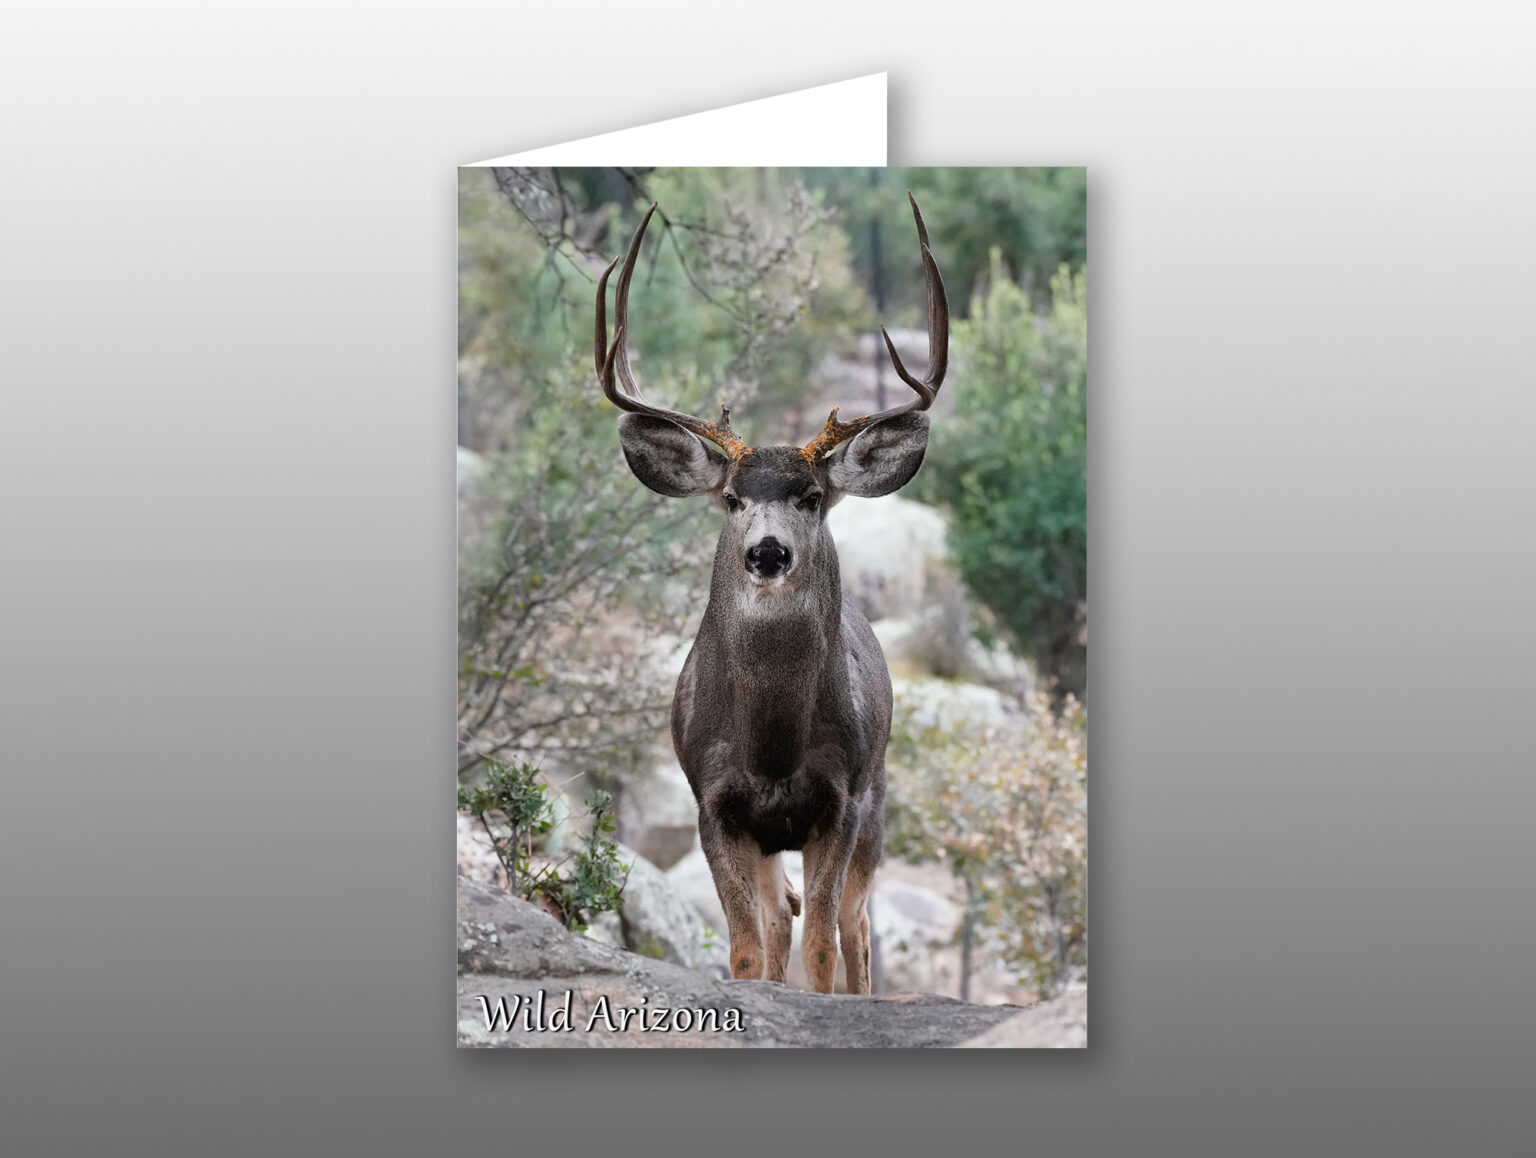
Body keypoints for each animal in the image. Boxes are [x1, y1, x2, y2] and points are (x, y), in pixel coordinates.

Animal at [593, 194, 948, 994]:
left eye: (811, 496)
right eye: (730, 498)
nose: (767, 551)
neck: (773, 745)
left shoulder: (841, 797)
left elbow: (820, 944)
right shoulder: (715, 802)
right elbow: (749, 949)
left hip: (880, 798)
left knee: (854, 925)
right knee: (782, 916)